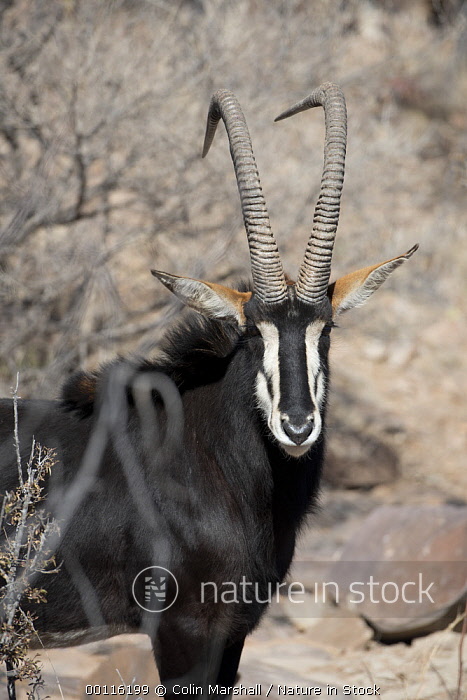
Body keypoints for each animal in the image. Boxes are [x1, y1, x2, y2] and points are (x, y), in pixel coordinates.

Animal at [0, 84, 417, 697]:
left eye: (326, 330)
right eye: (252, 332)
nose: (297, 426)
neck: (214, 463)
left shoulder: (233, 631)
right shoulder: (183, 630)